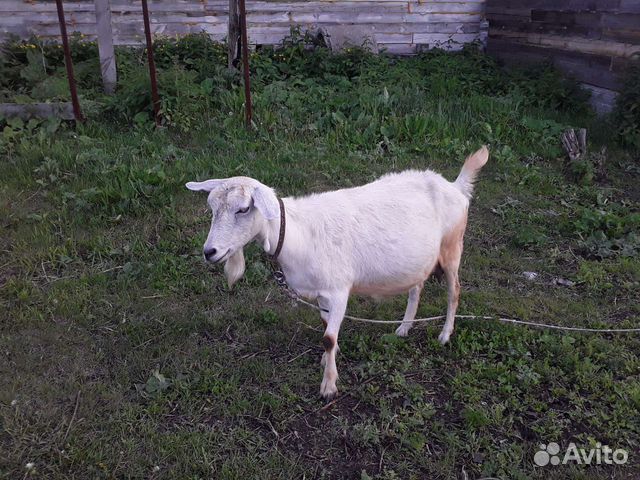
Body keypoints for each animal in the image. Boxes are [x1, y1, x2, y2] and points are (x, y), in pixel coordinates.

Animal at [186, 146, 489, 400]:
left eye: (243, 209)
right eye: (212, 208)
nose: (209, 251)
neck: (299, 234)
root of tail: (454, 186)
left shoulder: (339, 290)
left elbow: (328, 338)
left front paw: (329, 386)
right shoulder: (322, 292)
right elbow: (324, 325)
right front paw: (326, 361)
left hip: (452, 248)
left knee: (454, 291)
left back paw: (445, 335)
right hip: (421, 259)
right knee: (417, 287)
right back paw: (403, 328)